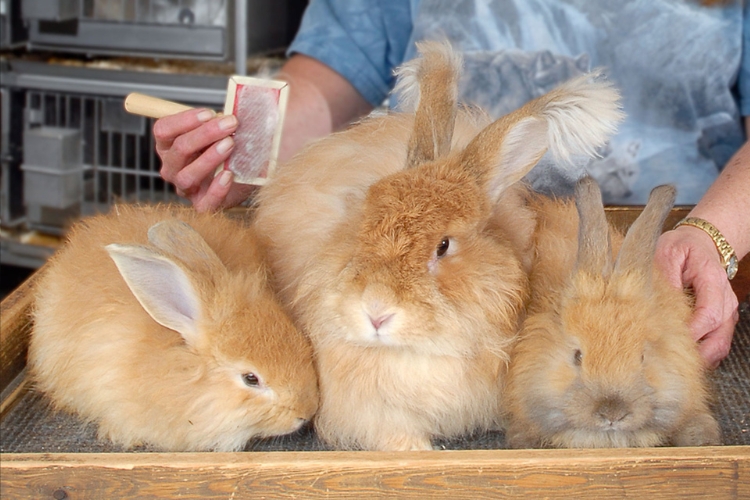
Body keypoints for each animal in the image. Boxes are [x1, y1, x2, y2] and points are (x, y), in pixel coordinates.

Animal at [253, 40, 623, 451]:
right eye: (362, 221)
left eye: (443, 246)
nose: (375, 311)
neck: (420, 354)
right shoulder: (370, 410)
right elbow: (396, 433)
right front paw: (417, 449)